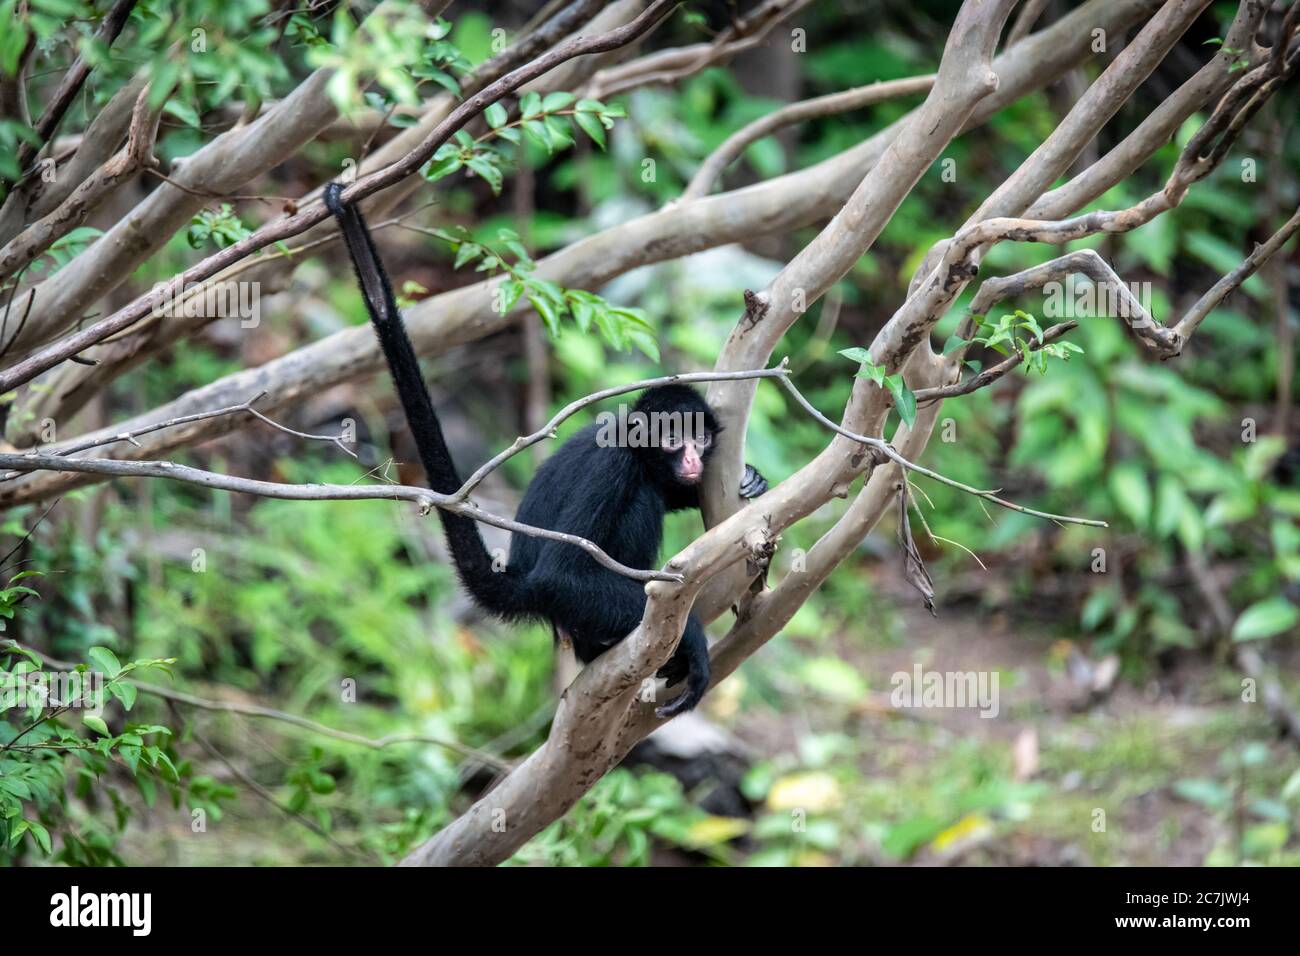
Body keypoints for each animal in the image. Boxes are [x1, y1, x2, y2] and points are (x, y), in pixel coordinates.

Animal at [323, 183, 767, 717]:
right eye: (671, 440)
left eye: (698, 440)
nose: (694, 459)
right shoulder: (613, 465)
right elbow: (563, 574)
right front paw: (695, 641)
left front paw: (753, 480)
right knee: (632, 510)